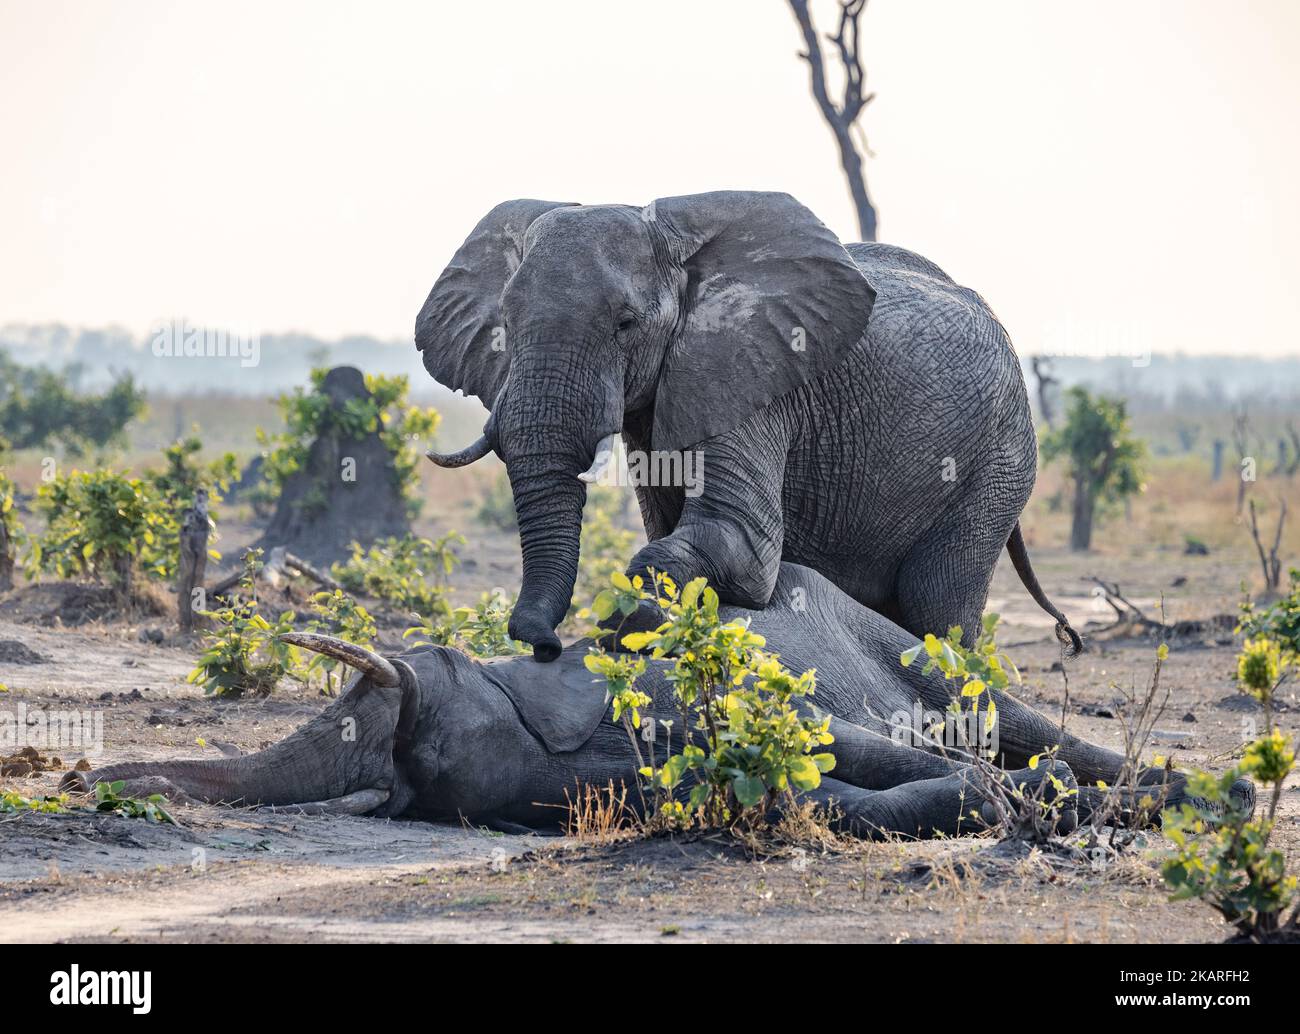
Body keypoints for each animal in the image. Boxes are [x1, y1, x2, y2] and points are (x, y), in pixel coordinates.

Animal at [416, 192, 1076, 663]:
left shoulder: (755, 380)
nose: (546, 647)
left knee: (938, 605)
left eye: (626, 324)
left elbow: (740, 543)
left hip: (1001, 462)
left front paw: (627, 620)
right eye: (504, 323)